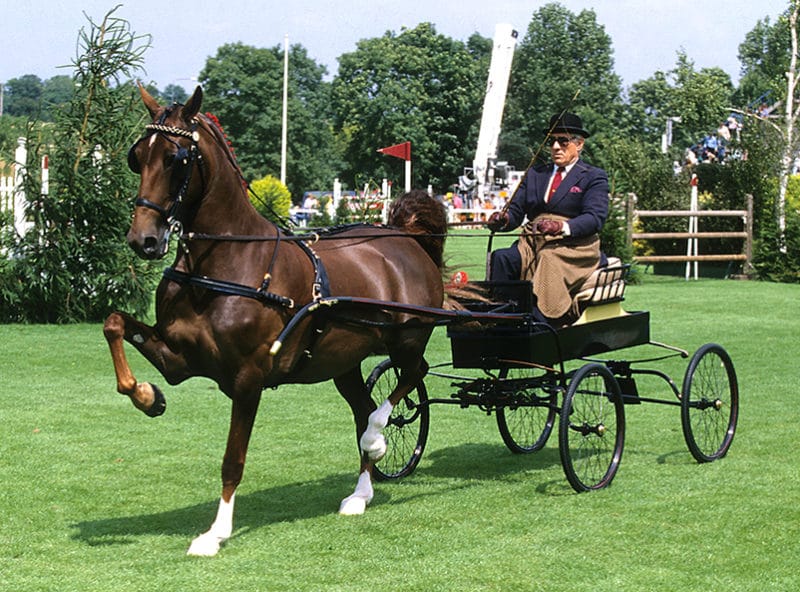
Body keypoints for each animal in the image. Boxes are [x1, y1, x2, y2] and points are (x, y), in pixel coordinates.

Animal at [103, 84, 448, 556]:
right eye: (137, 156)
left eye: (176, 158)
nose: (145, 240)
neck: (225, 263)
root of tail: (407, 238)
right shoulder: (178, 358)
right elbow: (115, 324)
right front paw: (146, 395)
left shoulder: (248, 378)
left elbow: (233, 460)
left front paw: (216, 533)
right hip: (342, 363)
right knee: (363, 407)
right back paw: (360, 494)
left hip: (407, 340)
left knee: (410, 378)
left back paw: (377, 440)